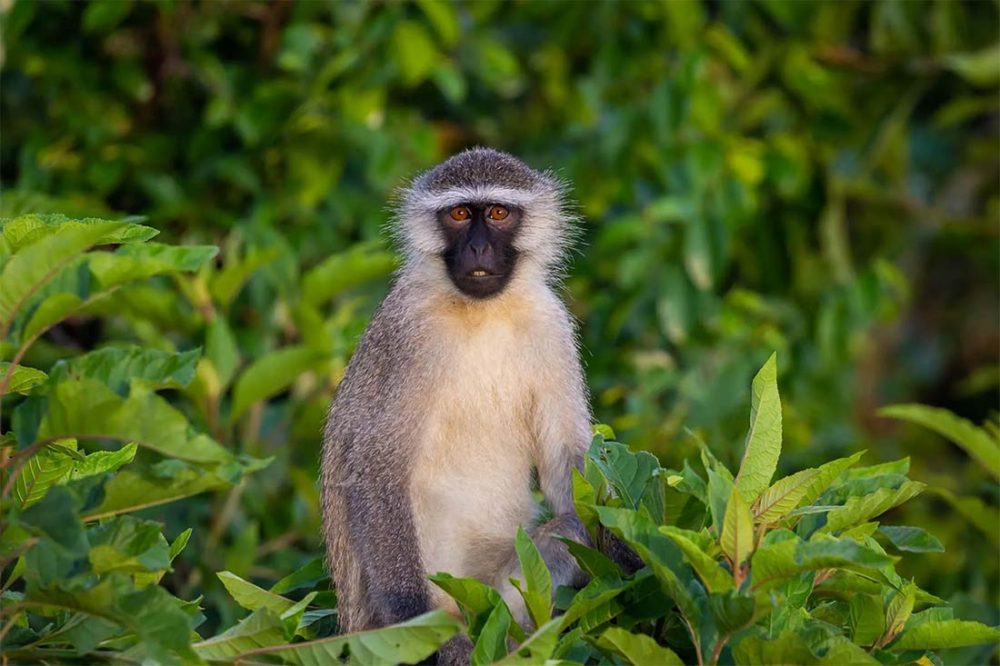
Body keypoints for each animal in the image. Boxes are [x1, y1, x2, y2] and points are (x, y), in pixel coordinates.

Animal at [320, 148, 632, 663]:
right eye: (461, 214)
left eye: (499, 213)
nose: (479, 249)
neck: (483, 312)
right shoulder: (409, 336)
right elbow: (374, 466)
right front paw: (418, 622)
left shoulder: (550, 324)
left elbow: (566, 463)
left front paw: (631, 557)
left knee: (569, 530)